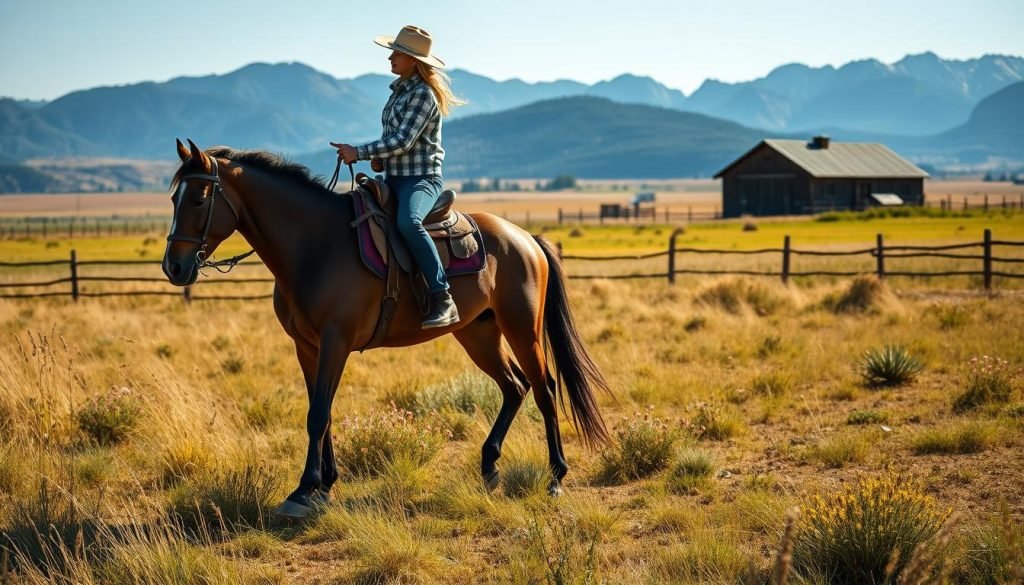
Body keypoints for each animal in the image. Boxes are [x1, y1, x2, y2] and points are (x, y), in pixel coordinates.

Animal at [162, 139, 611, 518]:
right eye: (173, 198)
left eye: (199, 198)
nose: (174, 267)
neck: (313, 245)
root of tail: (526, 239)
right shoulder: (307, 346)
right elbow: (321, 411)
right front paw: (324, 486)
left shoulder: (336, 341)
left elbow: (318, 414)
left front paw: (303, 491)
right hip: (478, 334)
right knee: (514, 386)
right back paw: (489, 466)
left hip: (522, 329)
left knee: (544, 388)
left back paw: (555, 476)